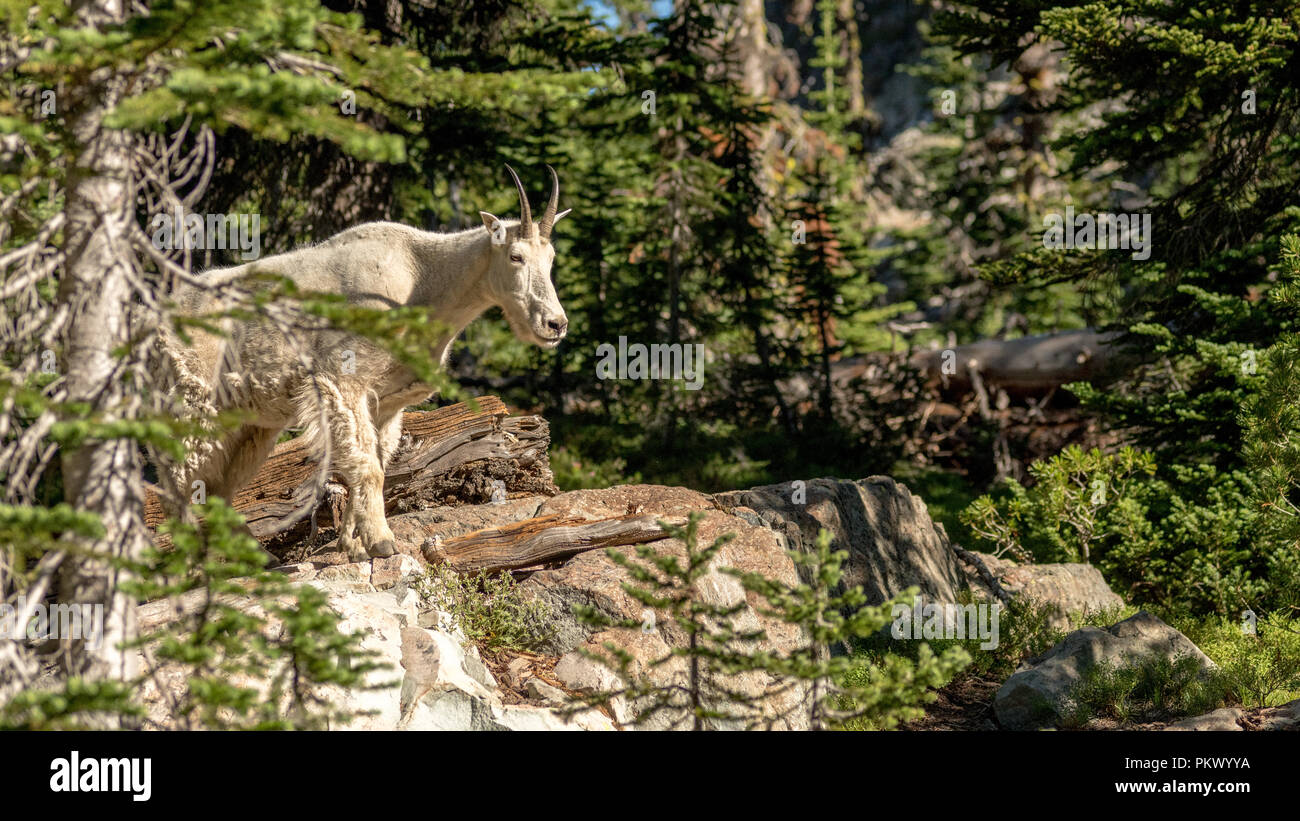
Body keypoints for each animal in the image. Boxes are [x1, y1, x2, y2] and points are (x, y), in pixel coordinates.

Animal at [159, 166, 570, 560]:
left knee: (219, 486)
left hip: (250, 423)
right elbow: (368, 468)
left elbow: (374, 464)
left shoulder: (386, 403)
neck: (423, 284)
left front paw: (353, 545)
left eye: (551, 259)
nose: (556, 324)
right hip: (192, 401)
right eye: (515, 256)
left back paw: (253, 554)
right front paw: (382, 542)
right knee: (176, 479)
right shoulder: (343, 383)